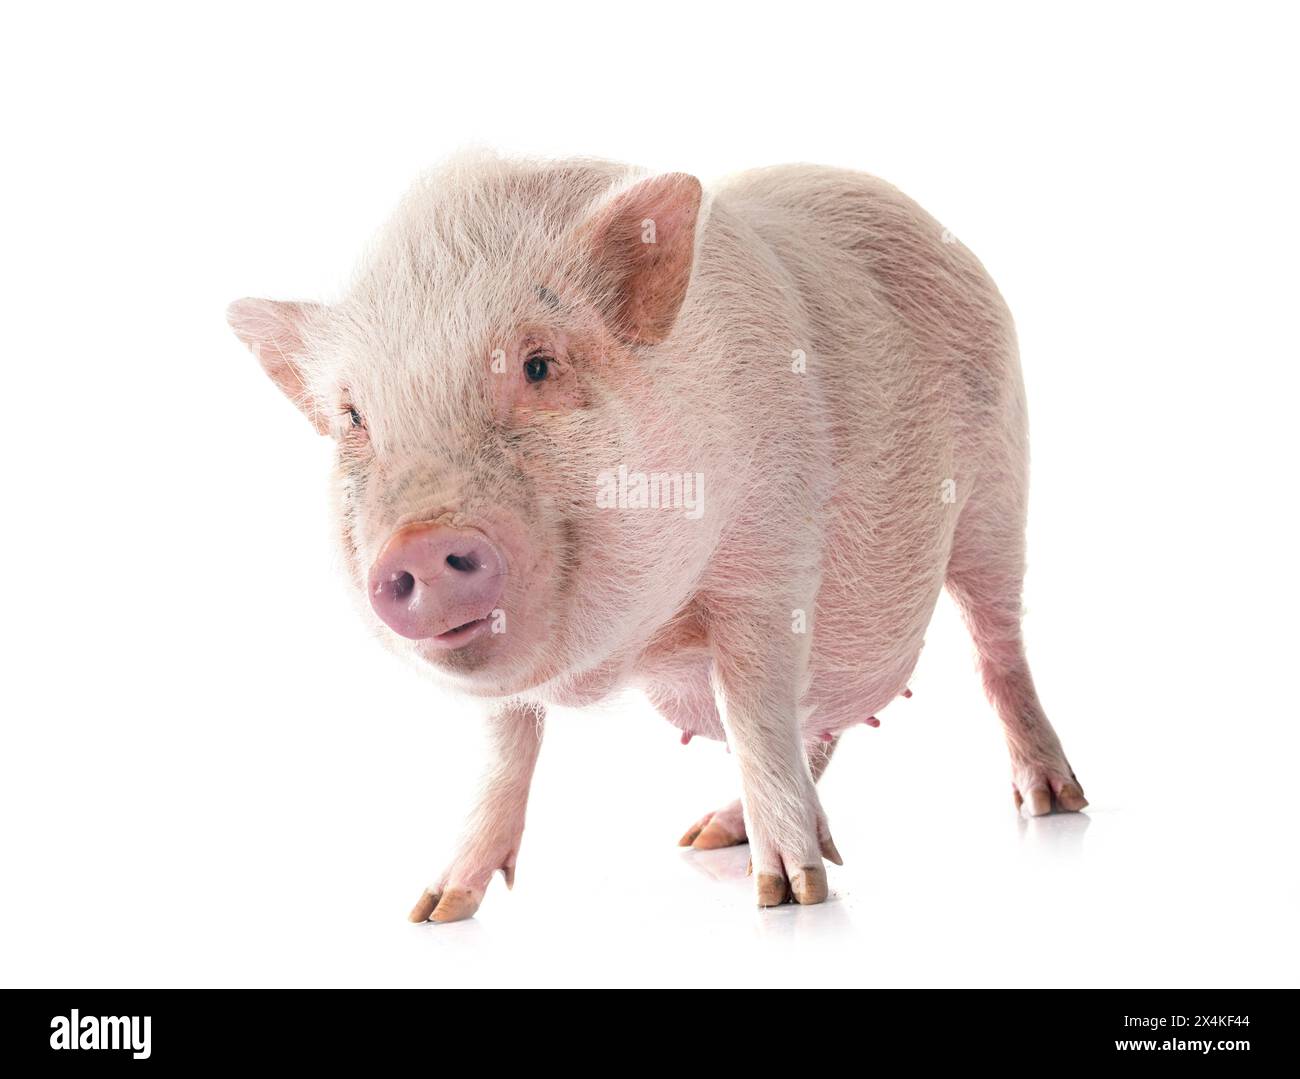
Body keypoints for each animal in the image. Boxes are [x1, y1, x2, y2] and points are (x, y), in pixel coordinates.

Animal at [227, 151, 1085, 922]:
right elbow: (506, 750)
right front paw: (435, 908)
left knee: (995, 645)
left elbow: (755, 711)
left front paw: (789, 896)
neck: (646, 638)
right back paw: (711, 835)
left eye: (538, 365)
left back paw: (1053, 801)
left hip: (999, 492)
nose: (419, 541)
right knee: (821, 718)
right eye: (353, 416)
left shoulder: (771, 568)